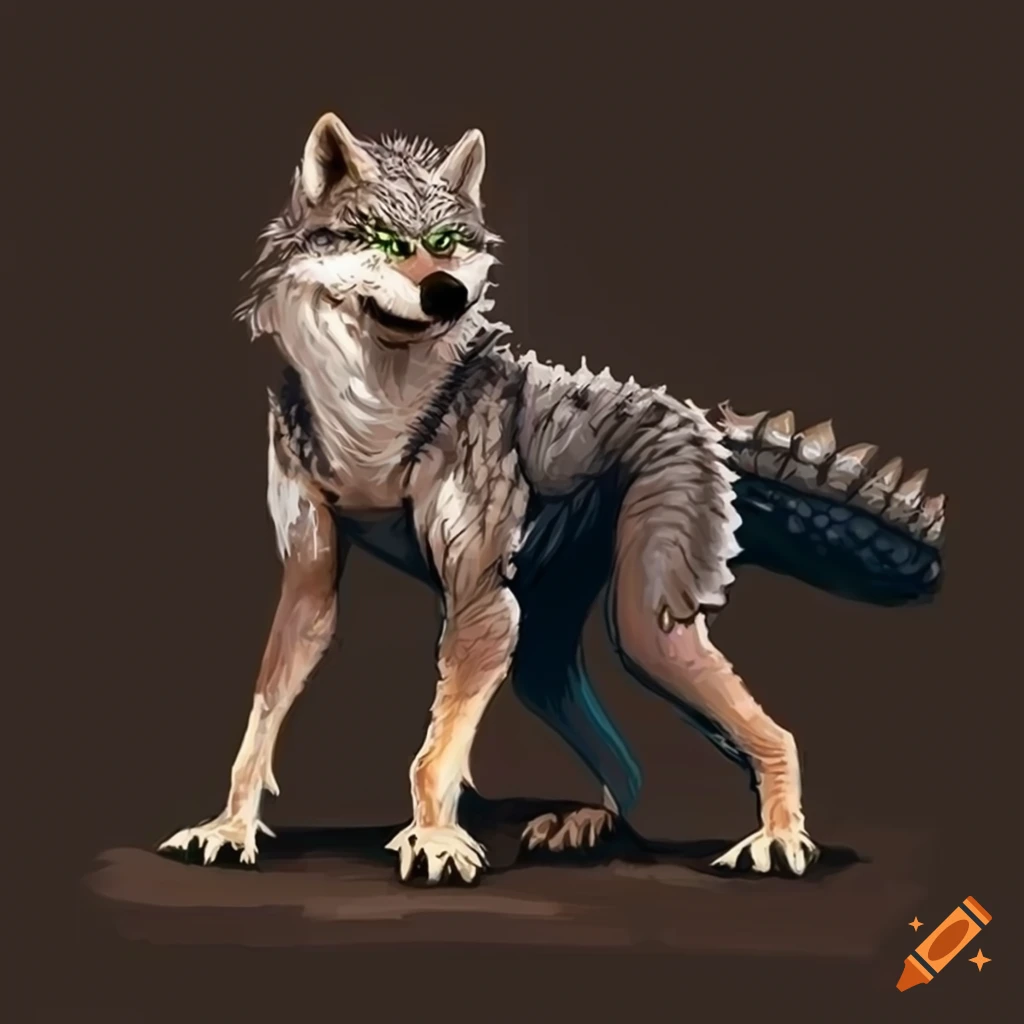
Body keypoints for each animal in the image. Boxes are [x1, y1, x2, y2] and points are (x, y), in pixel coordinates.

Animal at [159, 113, 945, 885]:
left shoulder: (480, 604)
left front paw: (434, 839)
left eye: (445, 244)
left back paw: (776, 840)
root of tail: (696, 416)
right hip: (545, 658)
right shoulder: (312, 582)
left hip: (644, 630)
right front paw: (228, 827)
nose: (447, 293)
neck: (373, 418)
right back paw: (587, 826)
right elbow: (262, 719)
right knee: (629, 768)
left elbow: (432, 755)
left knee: (771, 735)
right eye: (389, 243)